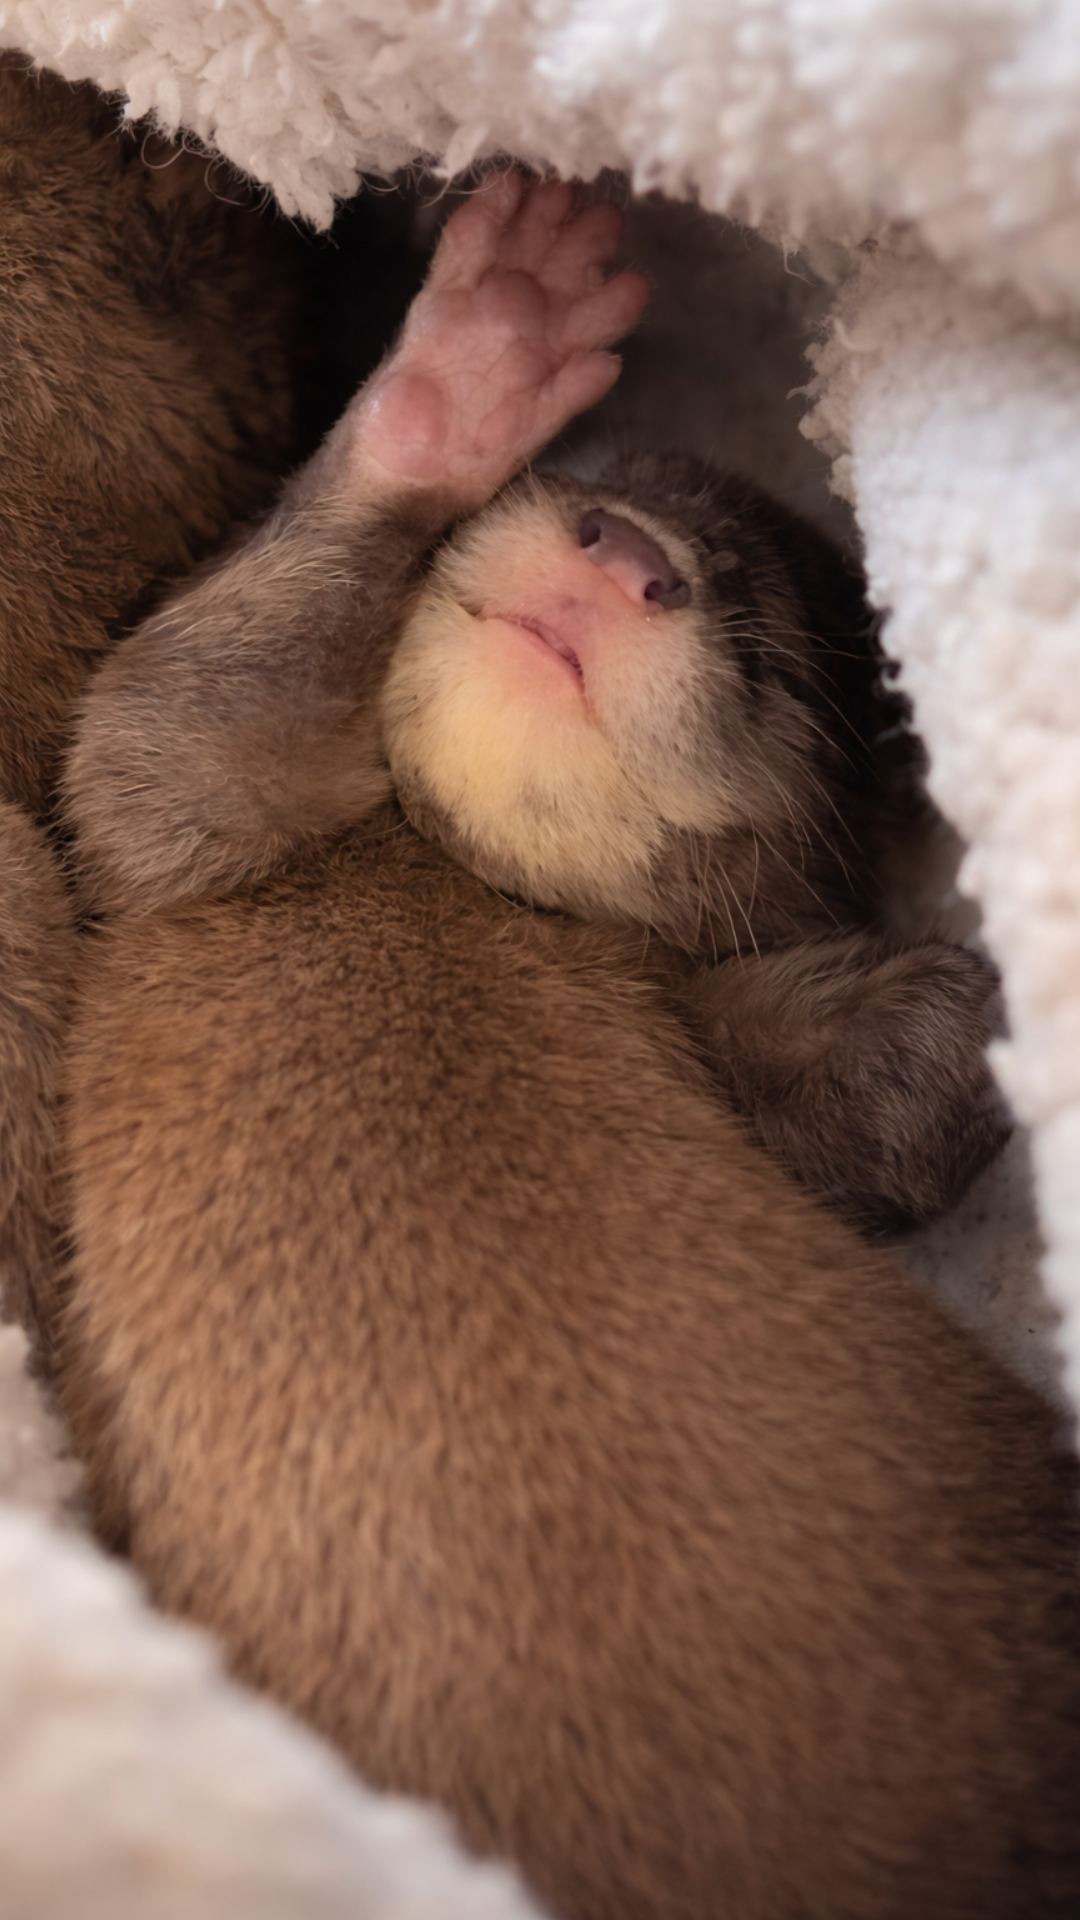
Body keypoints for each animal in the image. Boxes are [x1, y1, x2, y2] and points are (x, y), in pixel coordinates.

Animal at [60, 174, 1079, 1920]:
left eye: (772, 658)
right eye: (591, 484)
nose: (627, 558)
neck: (460, 900)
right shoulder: (188, 836)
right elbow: (164, 738)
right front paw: (484, 356)